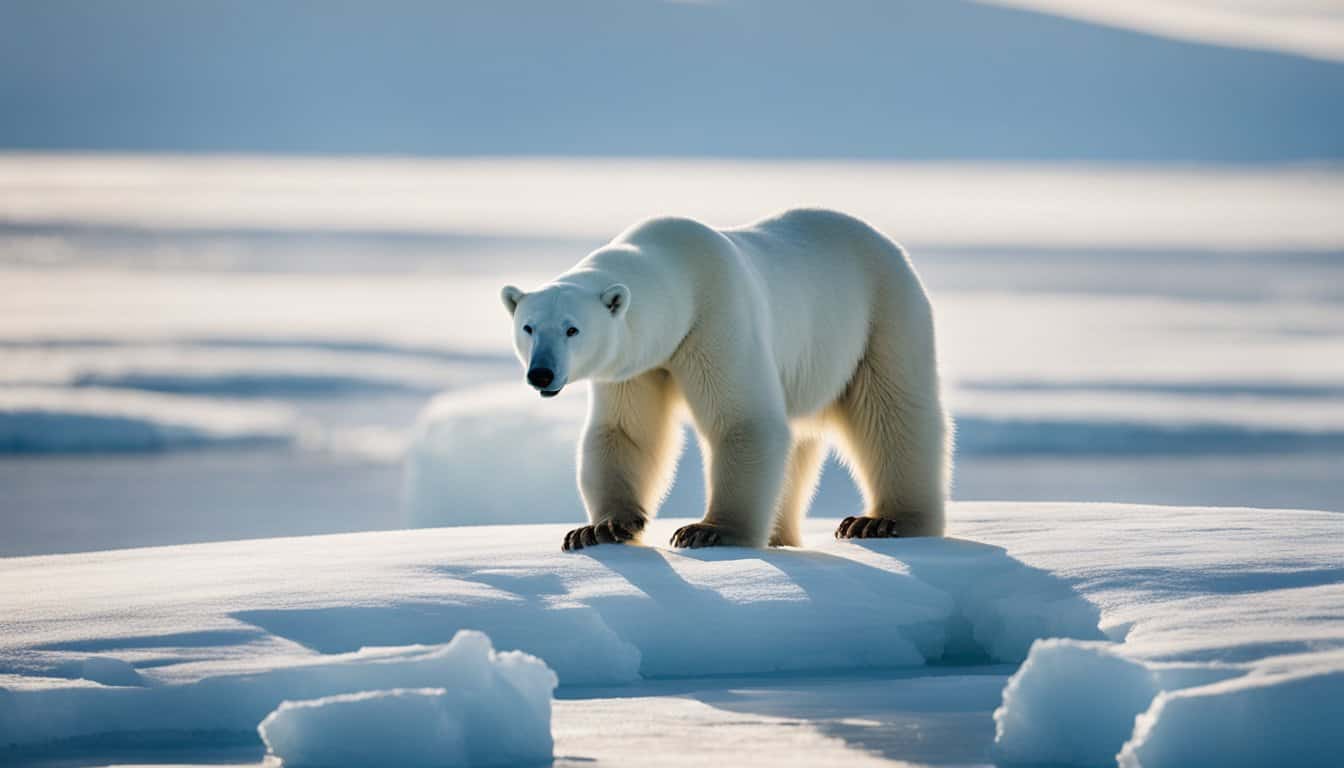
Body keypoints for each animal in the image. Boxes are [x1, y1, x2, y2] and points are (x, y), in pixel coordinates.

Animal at [500, 208, 951, 551]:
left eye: (572, 329)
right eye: (529, 327)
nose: (541, 372)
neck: (679, 273)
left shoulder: (716, 318)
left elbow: (744, 421)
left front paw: (710, 531)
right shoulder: (635, 366)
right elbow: (625, 431)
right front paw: (600, 528)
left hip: (881, 315)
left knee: (893, 412)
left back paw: (884, 521)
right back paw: (783, 535)